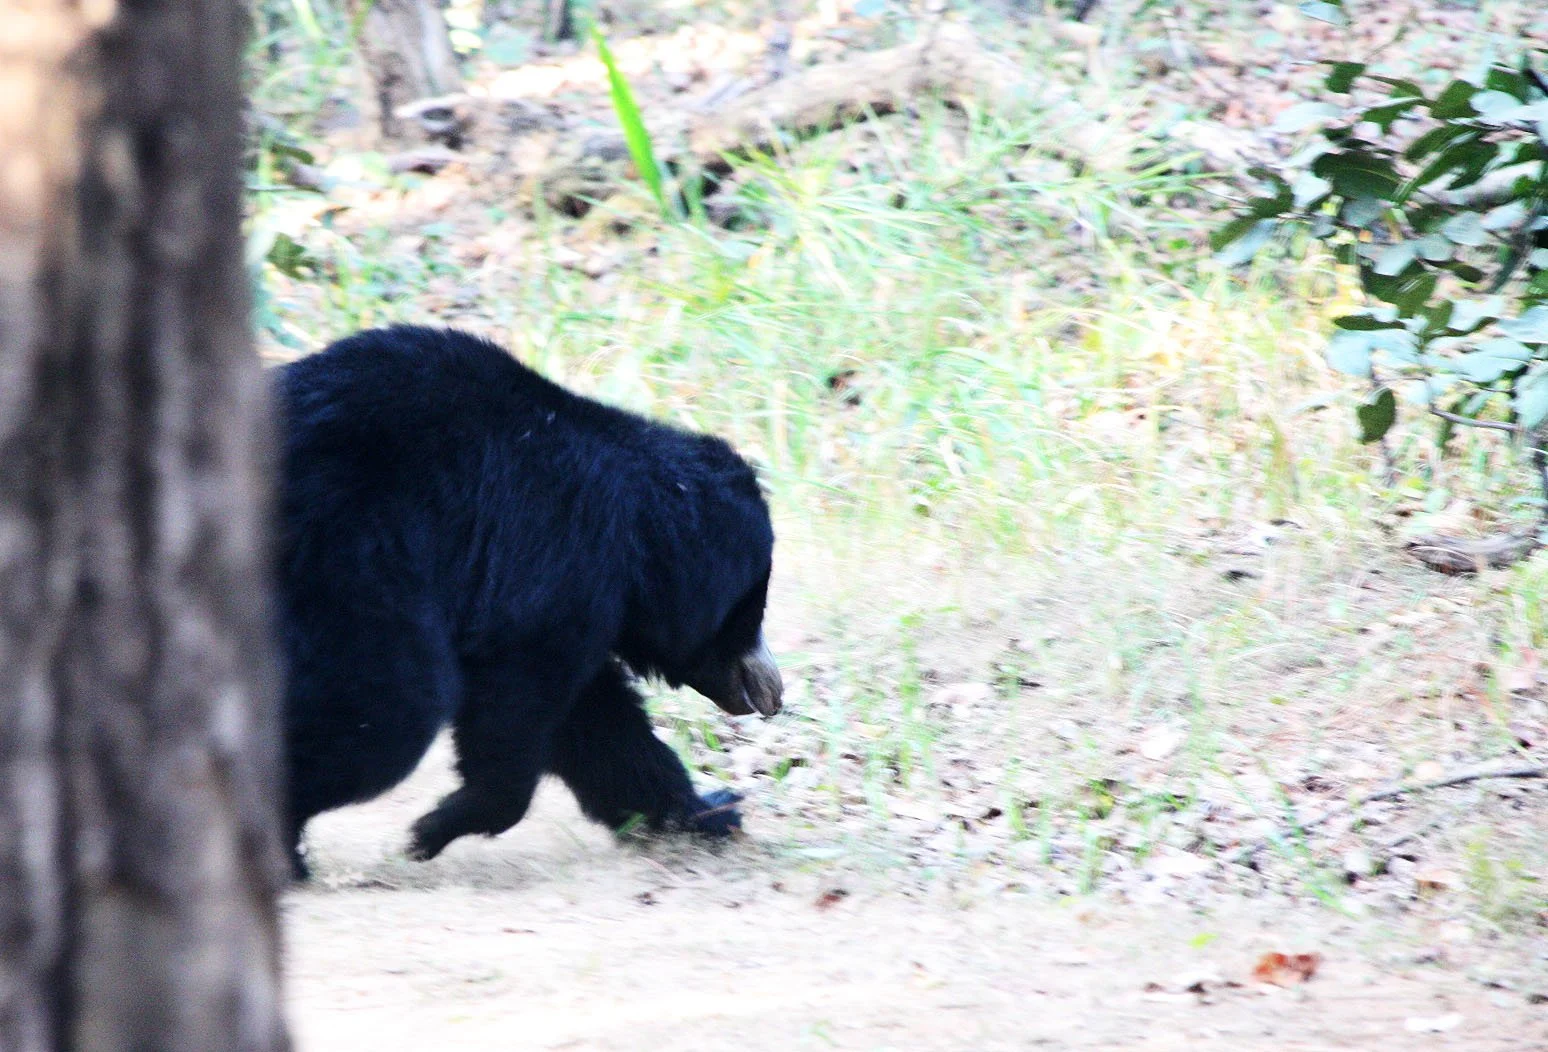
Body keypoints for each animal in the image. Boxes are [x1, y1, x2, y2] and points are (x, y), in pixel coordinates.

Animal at [274, 325, 782, 878]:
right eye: (750, 609)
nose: (773, 694)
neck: (640, 540)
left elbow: (600, 726)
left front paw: (711, 813)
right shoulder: (556, 558)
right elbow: (516, 696)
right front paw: (432, 828)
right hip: (342, 557)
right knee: (390, 706)